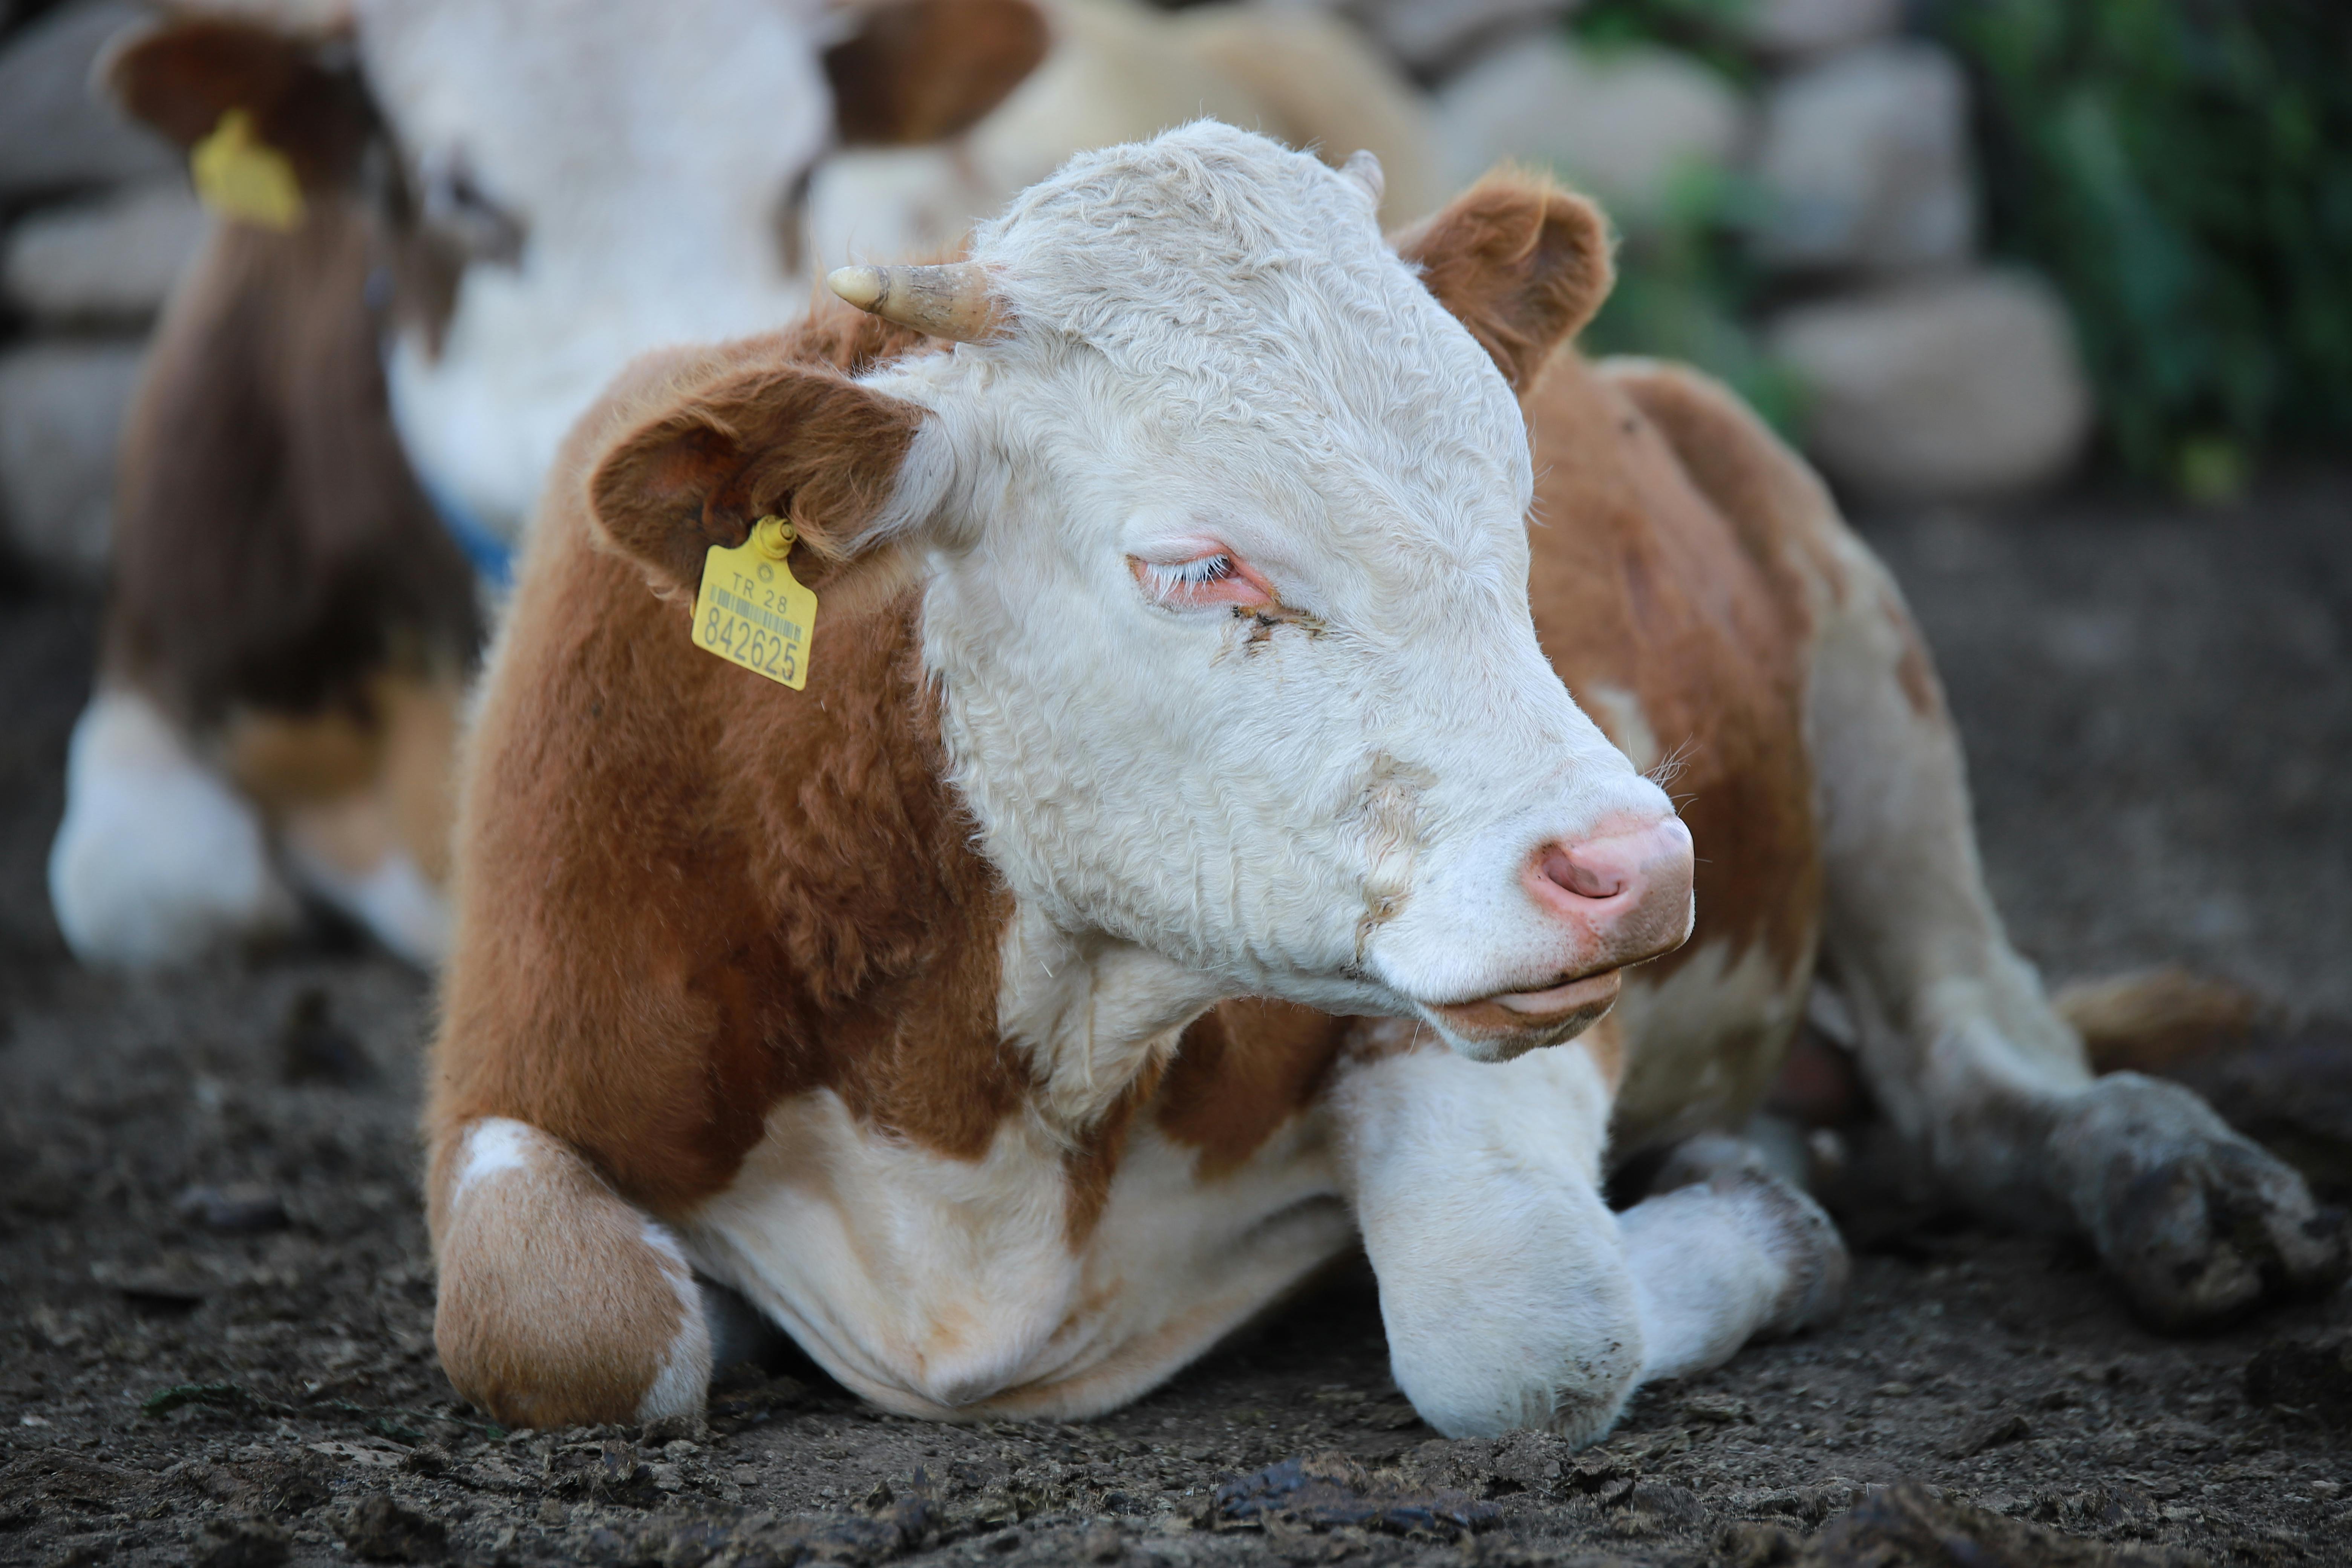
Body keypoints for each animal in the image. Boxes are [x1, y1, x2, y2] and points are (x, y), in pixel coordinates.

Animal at [424, 125, 2346, 1442]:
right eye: (1199, 567)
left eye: (1513, 499)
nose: (1636, 859)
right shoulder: (516, 1051)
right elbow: (553, 1325)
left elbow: (1522, 1322)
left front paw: (1763, 1223)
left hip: (1866, 660)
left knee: (1980, 1072)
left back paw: (2180, 1190)